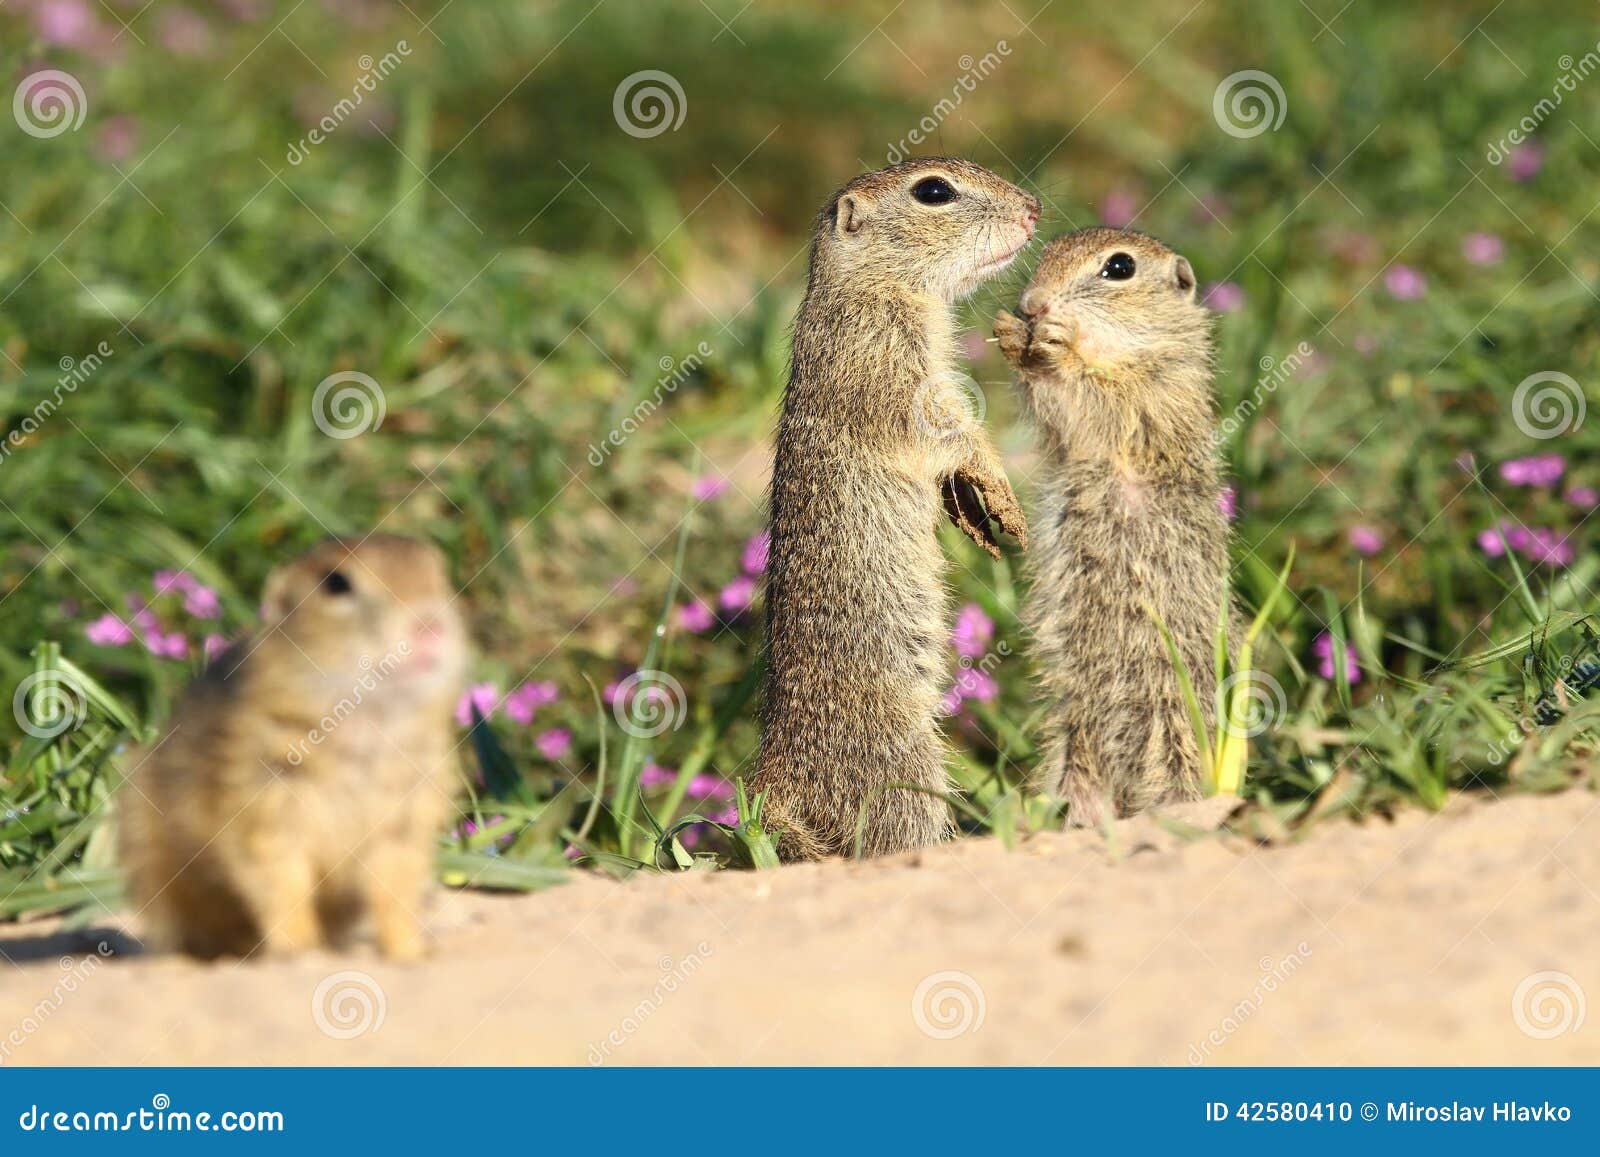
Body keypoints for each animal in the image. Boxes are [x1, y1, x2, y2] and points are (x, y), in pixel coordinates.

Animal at [119, 535, 467, 960]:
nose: (429, 625)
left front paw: (410, 954)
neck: (366, 719)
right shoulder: (264, 806)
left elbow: (396, 892)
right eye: (335, 583)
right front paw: (301, 953)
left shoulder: (407, 819)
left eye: (439, 574)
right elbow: (281, 885)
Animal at [752, 158, 1039, 861]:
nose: (1034, 208)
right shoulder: (888, 370)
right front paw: (999, 490)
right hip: (901, 764)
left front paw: (974, 508)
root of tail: (770, 778)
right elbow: (950, 433)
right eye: (933, 190)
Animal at [994, 227, 1233, 826]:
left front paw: (1055, 346)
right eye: (1047, 251)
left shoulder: (1152, 388)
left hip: (1172, 720)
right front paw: (1011, 335)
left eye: (1119, 268)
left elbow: (1096, 397)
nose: (1033, 304)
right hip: (1071, 733)